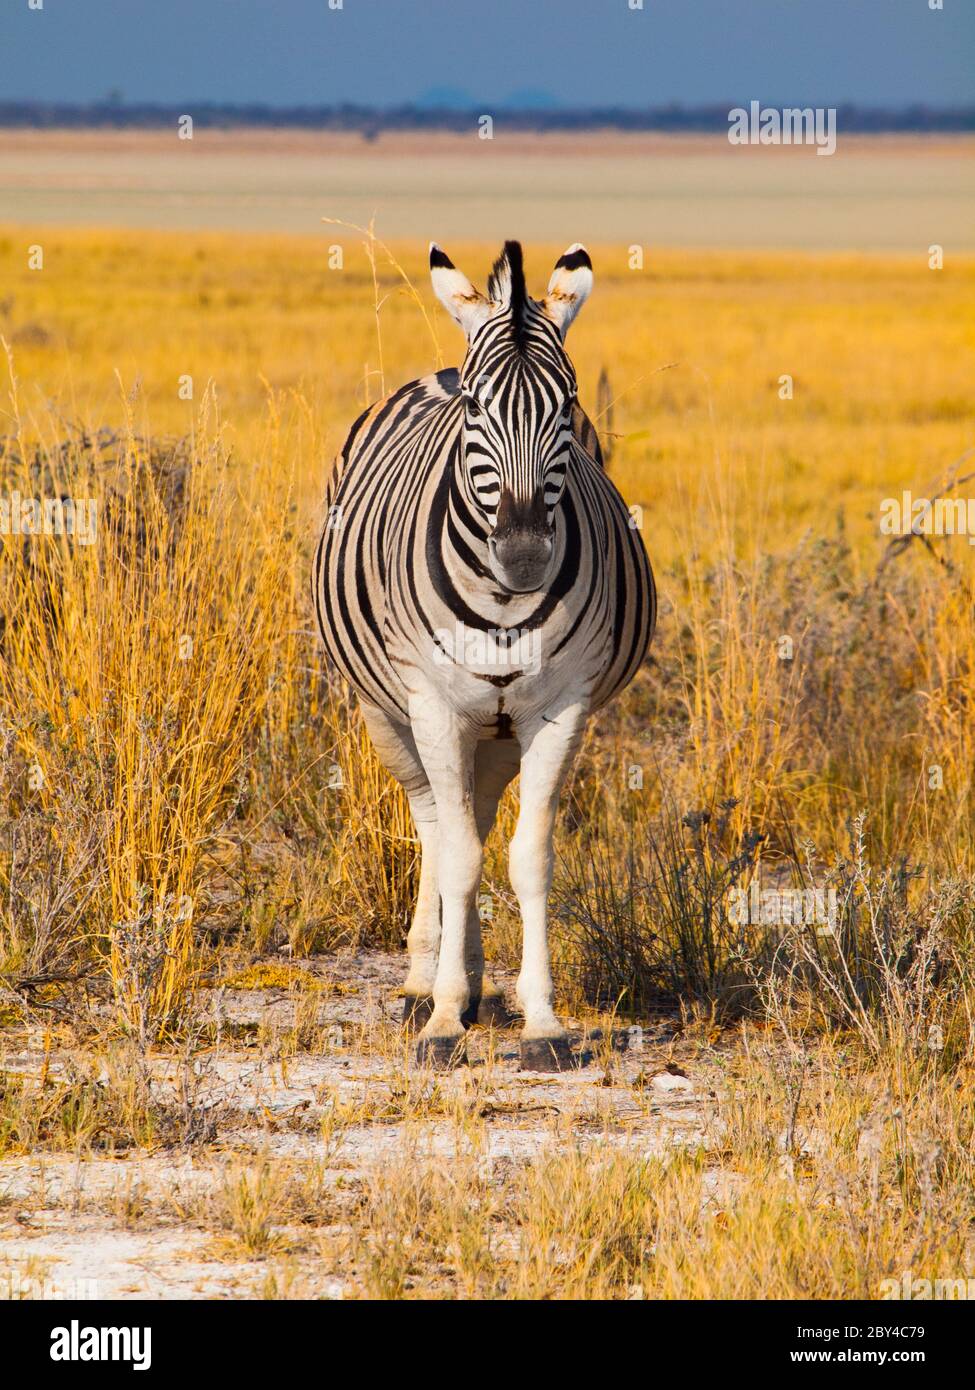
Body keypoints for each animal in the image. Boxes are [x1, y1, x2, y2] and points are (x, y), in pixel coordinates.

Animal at [314, 240, 655, 1070]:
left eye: (567, 406)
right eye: (475, 408)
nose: (526, 555)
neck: (502, 603)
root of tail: (437, 364)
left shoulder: (559, 710)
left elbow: (527, 857)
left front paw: (543, 1024)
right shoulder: (432, 706)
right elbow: (460, 856)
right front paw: (439, 1021)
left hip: (495, 731)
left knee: (475, 812)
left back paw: (469, 981)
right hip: (388, 713)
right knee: (438, 823)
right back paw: (424, 982)